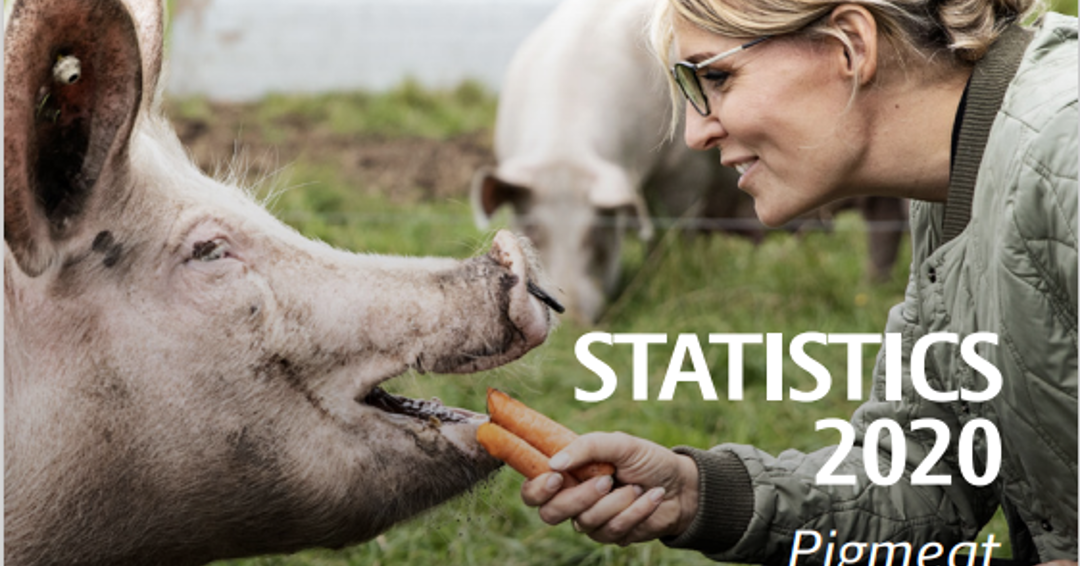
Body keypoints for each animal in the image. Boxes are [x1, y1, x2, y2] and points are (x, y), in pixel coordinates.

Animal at [472, 0, 906, 323]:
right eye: (530, 229)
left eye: (598, 233)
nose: (574, 319)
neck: (566, 154)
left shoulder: (683, 176)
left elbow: (670, 234)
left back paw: (874, 290)